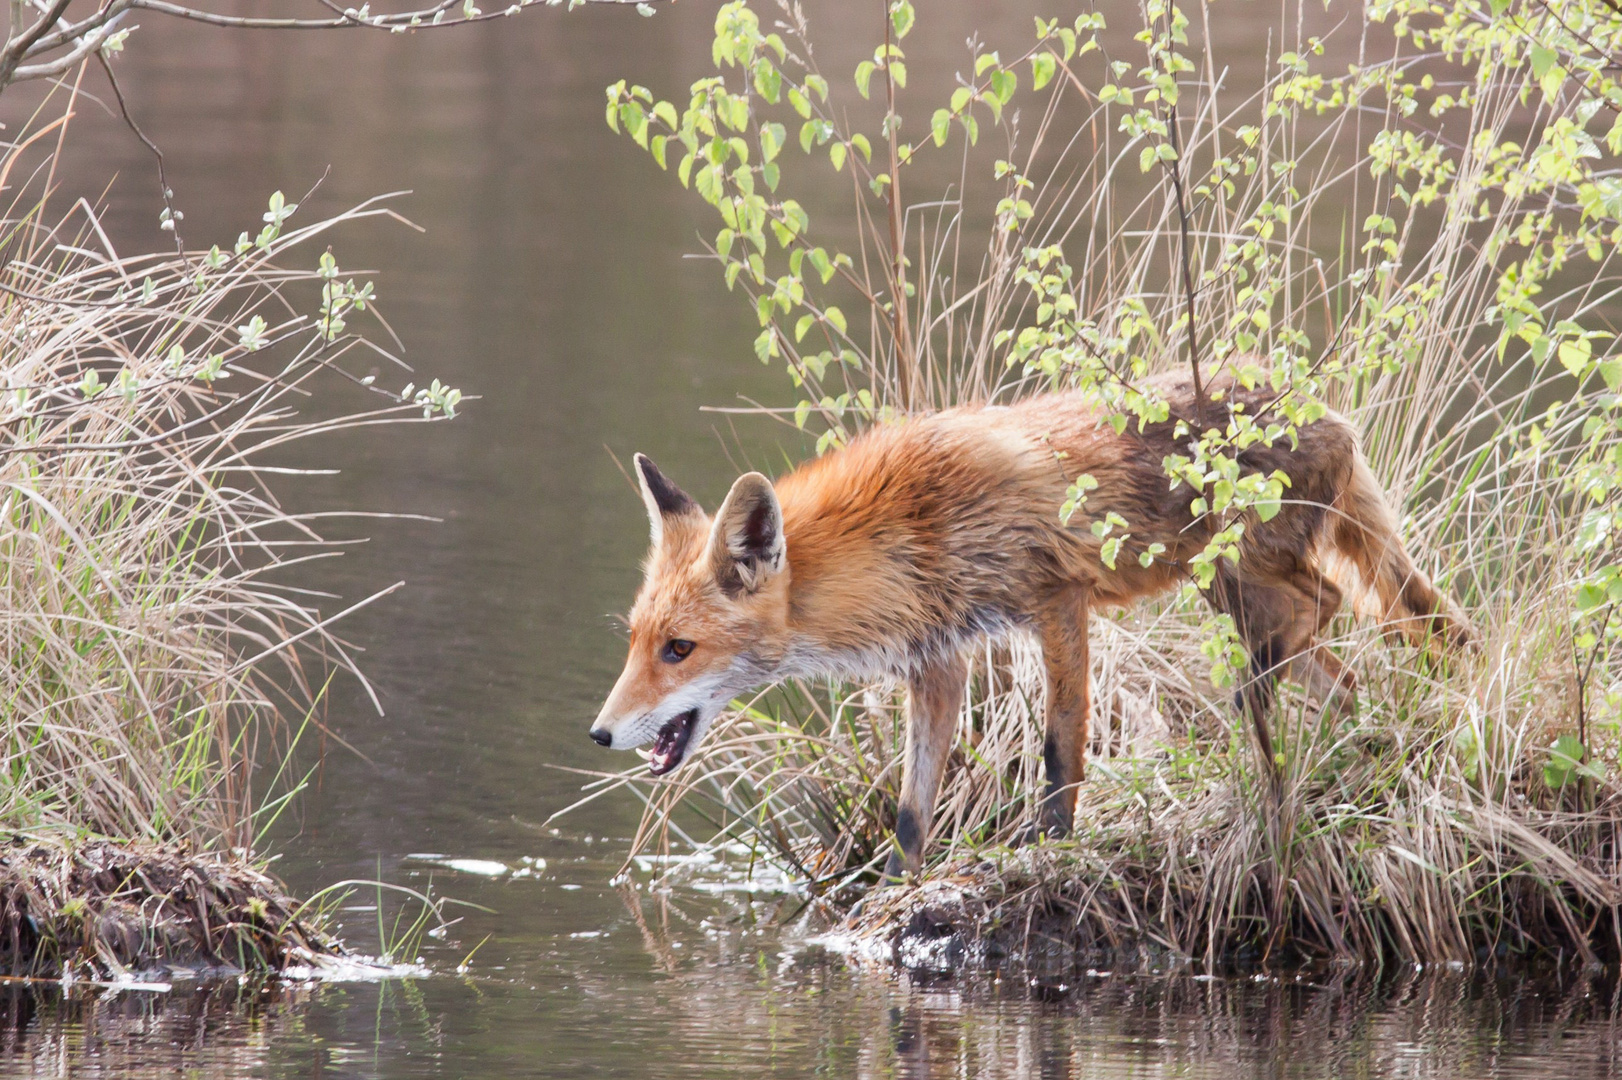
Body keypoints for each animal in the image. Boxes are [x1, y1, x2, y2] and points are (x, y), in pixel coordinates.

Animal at [590, 368, 1479, 875]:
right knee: (1343, 668)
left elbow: (1060, 747)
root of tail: (1330, 411)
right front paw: (891, 896)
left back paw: (1263, 706)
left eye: (679, 649)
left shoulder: (1056, 600)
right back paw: (1342, 750)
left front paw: (1052, 847)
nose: (600, 734)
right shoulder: (937, 658)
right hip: (1226, 589)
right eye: (635, 643)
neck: (904, 528)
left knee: (1327, 605)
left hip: (1238, 569)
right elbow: (911, 815)